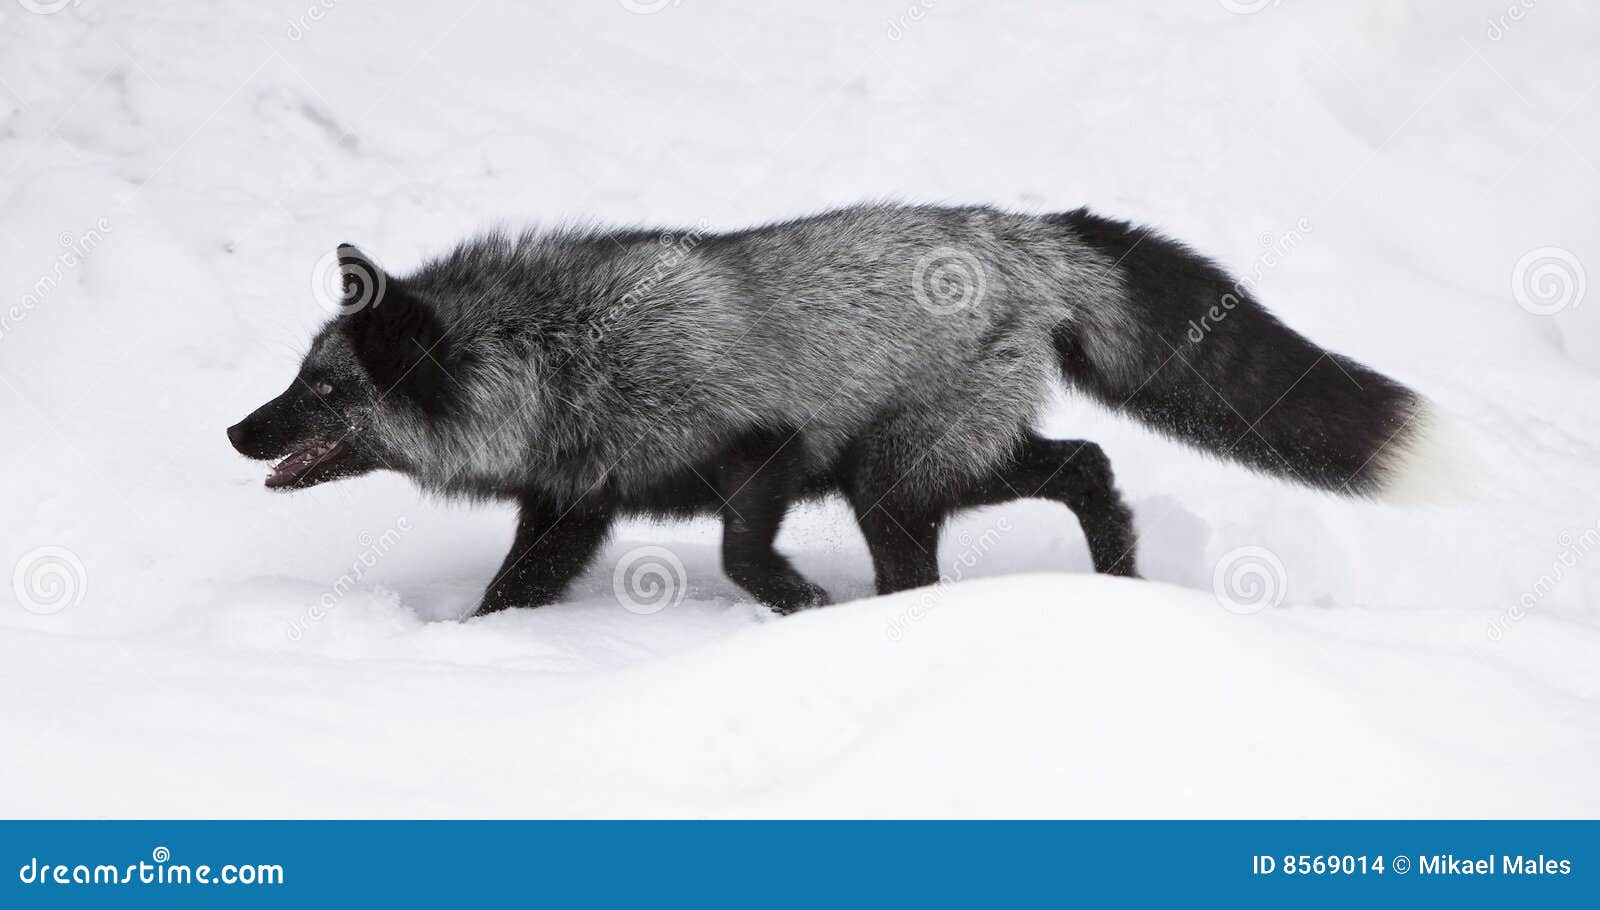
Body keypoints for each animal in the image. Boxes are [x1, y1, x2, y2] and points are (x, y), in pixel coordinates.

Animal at [227, 203, 1443, 616]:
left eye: (323, 390)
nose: (237, 431)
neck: (566, 355)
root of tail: (1027, 232)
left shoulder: (764, 446)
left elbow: (738, 553)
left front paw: (803, 612)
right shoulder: (572, 508)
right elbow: (506, 596)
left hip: (890, 479)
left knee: (1047, 488)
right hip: (937, 469)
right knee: (1089, 463)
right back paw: (1115, 589)